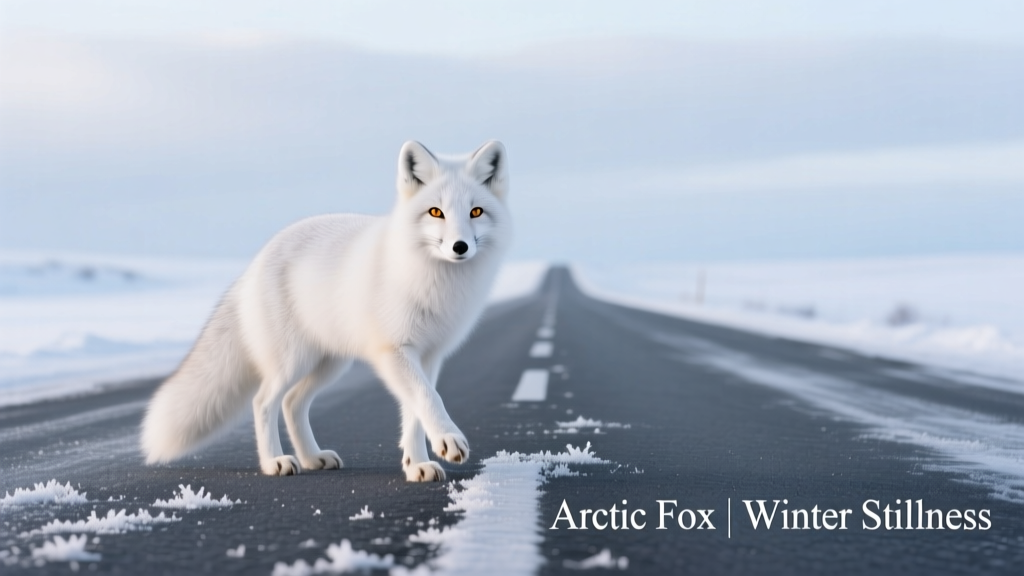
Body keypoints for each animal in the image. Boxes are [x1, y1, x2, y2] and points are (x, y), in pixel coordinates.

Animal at [141, 140, 512, 481]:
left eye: (476, 212)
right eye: (436, 212)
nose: (460, 247)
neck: (435, 282)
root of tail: (254, 265)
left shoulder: (429, 356)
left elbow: (416, 412)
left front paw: (416, 464)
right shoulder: (394, 350)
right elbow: (428, 399)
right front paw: (447, 440)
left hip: (329, 363)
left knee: (292, 403)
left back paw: (311, 458)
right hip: (292, 360)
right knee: (264, 402)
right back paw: (275, 462)